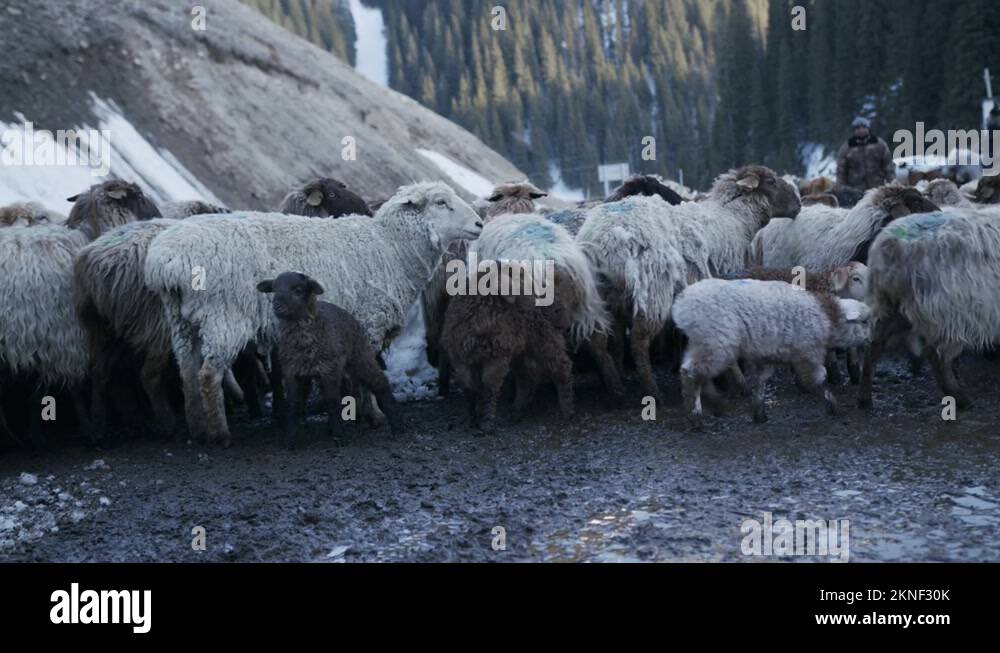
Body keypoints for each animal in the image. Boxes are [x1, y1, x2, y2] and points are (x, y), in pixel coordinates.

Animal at [257, 272, 402, 449]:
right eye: (274, 289)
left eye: (298, 290)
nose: (277, 306)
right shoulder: (293, 373)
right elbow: (294, 405)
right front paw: (291, 441)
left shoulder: (329, 370)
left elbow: (333, 402)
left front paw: (340, 437)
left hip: (360, 356)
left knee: (380, 383)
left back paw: (397, 425)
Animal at [577, 165, 801, 401]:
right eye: (772, 181)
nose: (798, 204)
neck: (735, 219)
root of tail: (603, 239)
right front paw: (736, 380)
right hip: (654, 290)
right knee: (638, 341)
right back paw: (652, 391)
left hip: (600, 294)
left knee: (599, 339)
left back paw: (616, 386)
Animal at [673, 278, 871, 428]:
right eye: (865, 321)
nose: (871, 340)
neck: (828, 317)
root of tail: (681, 305)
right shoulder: (807, 353)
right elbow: (819, 379)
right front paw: (833, 407)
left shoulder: (767, 356)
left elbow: (762, 382)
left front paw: (759, 414)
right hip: (716, 343)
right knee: (690, 373)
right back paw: (695, 417)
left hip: (702, 342)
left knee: (696, 373)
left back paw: (715, 404)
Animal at [859, 210, 1000, 410]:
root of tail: (891, 246)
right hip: (949, 313)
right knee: (937, 358)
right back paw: (961, 398)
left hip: (889, 306)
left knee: (873, 346)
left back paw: (864, 399)